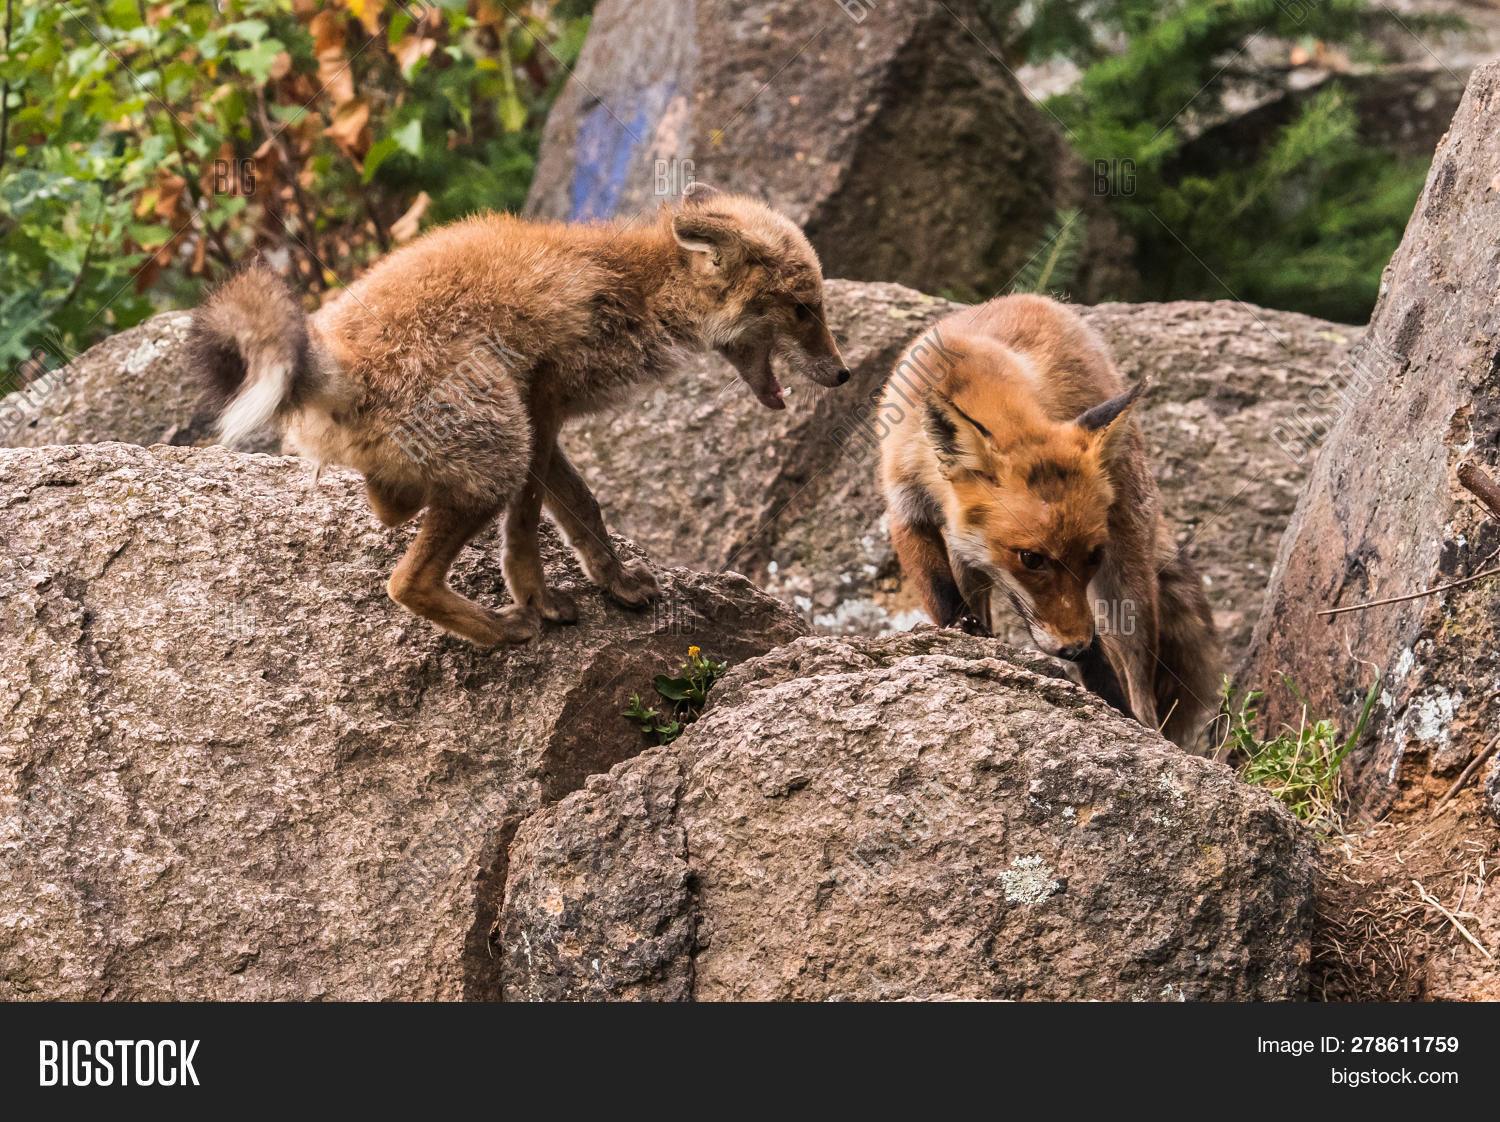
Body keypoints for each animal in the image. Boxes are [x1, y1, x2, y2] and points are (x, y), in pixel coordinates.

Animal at [188, 183, 849, 646]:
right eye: (803, 308)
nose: (844, 375)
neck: (633, 290)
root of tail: (343, 358)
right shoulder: (542, 401)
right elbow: (531, 520)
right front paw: (539, 599)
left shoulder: (544, 420)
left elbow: (583, 509)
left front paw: (615, 583)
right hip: (497, 454)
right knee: (407, 581)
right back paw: (505, 631)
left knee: (389, 506)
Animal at [877, 294, 1219, 749]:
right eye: (1030, 558)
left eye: (1092, 555)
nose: (1073, 649)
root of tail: (1041, 300)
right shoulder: (905, 507)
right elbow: (939, 588)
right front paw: (962, 630)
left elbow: (1104, 662)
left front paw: (1114, 707)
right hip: (969, 559)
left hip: (1128, 584)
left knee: (1141, 679)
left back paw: (1146, 725)